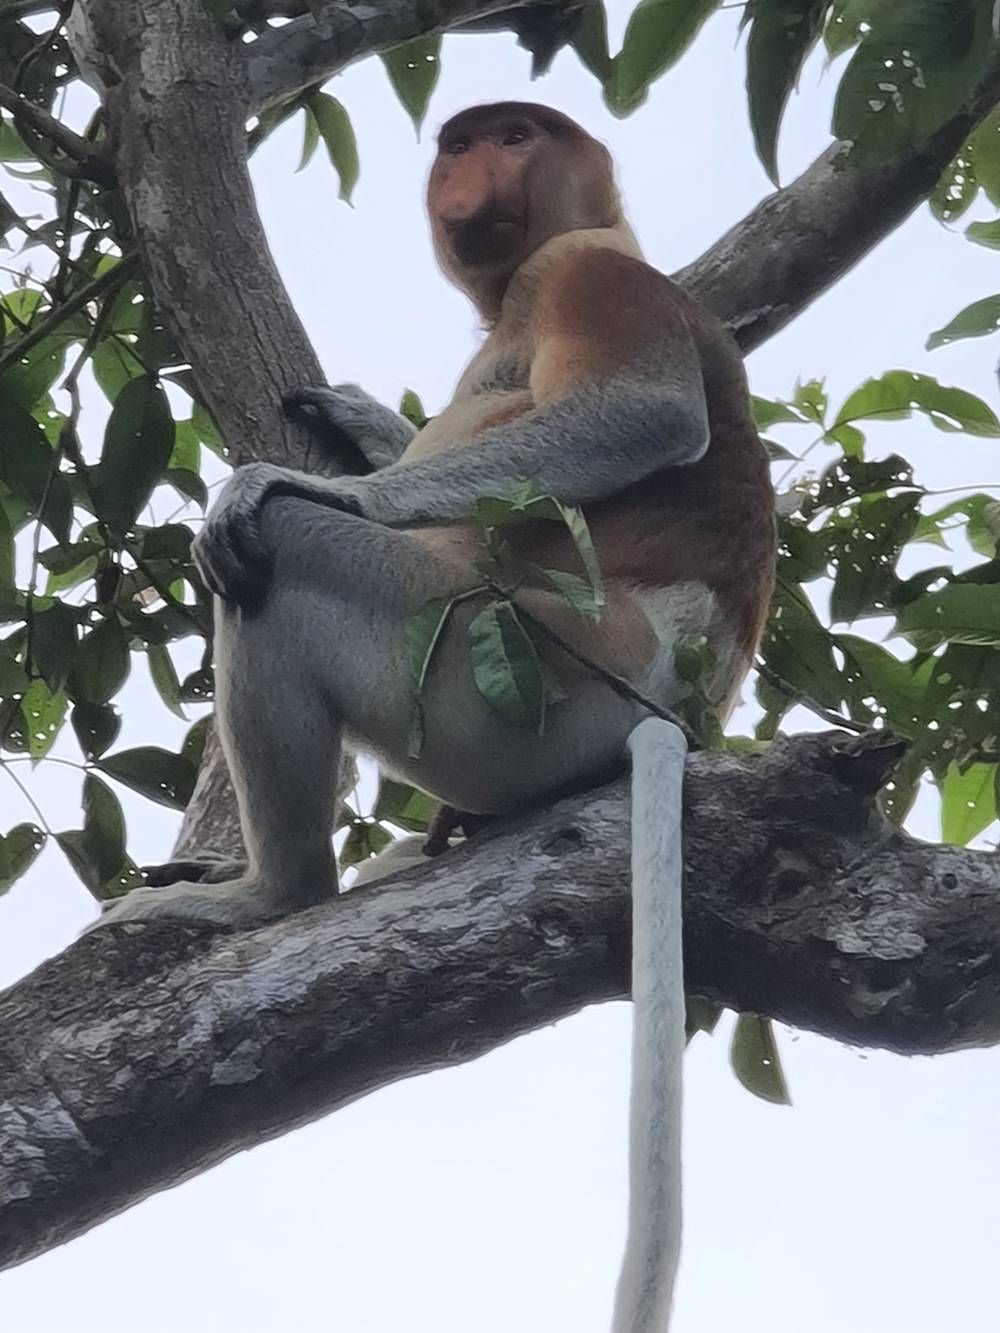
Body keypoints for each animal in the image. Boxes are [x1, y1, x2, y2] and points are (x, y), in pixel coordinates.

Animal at [94, 103, 776, 1328]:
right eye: (462, 142)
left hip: (506, 675)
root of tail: (680, 697)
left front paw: (315, 484)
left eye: (513, 136)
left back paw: (268, 894)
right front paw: (360, 417)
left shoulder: (584, 271)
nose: (468, 167)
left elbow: (643, 412)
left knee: (285, 569)